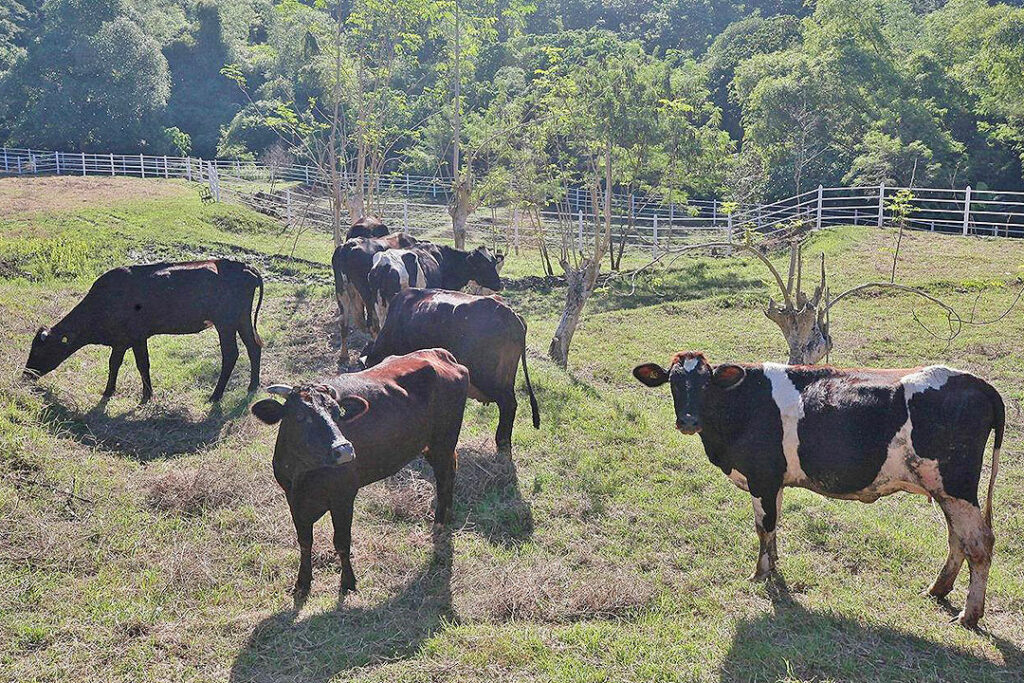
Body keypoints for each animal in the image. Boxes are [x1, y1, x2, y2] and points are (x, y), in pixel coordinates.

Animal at [24, 260, 264, 403]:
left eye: (39, 350)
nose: (26, 374)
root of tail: (244, 267)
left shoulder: (138, 337)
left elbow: (143, 365)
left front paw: (147, 396)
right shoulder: (121, 340)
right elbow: (114, 364)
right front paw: (108, 391)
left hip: (226, 323)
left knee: (231, 354)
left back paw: (216, 395)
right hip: (241, 319)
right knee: (254, 346)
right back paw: (252, 386)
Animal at [249, 348, 469, 600]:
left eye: (337, 413)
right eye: (300, 416)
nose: (344, 449)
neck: (303, 474)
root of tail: (438, 353)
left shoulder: (343, 497)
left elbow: (342, 541)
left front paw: (348, 581)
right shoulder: (292, 498)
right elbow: (304, 541)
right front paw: (302, 582)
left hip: (443, 442)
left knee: (445, 476)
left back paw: (441, 521)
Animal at [632, 352, 1003, 628]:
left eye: (706, 383)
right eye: (673, 382)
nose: (688, 421)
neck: (739, 407)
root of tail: (976, 381)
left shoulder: (761, 478)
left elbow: (763, 526)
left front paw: (760, 573)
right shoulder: (774, 481)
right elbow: (773, 526)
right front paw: (773, 564)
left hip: (957, 488)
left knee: (979, 544)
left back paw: (969, 615)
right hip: (945, 491)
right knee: (957, 539)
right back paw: (937, 590)